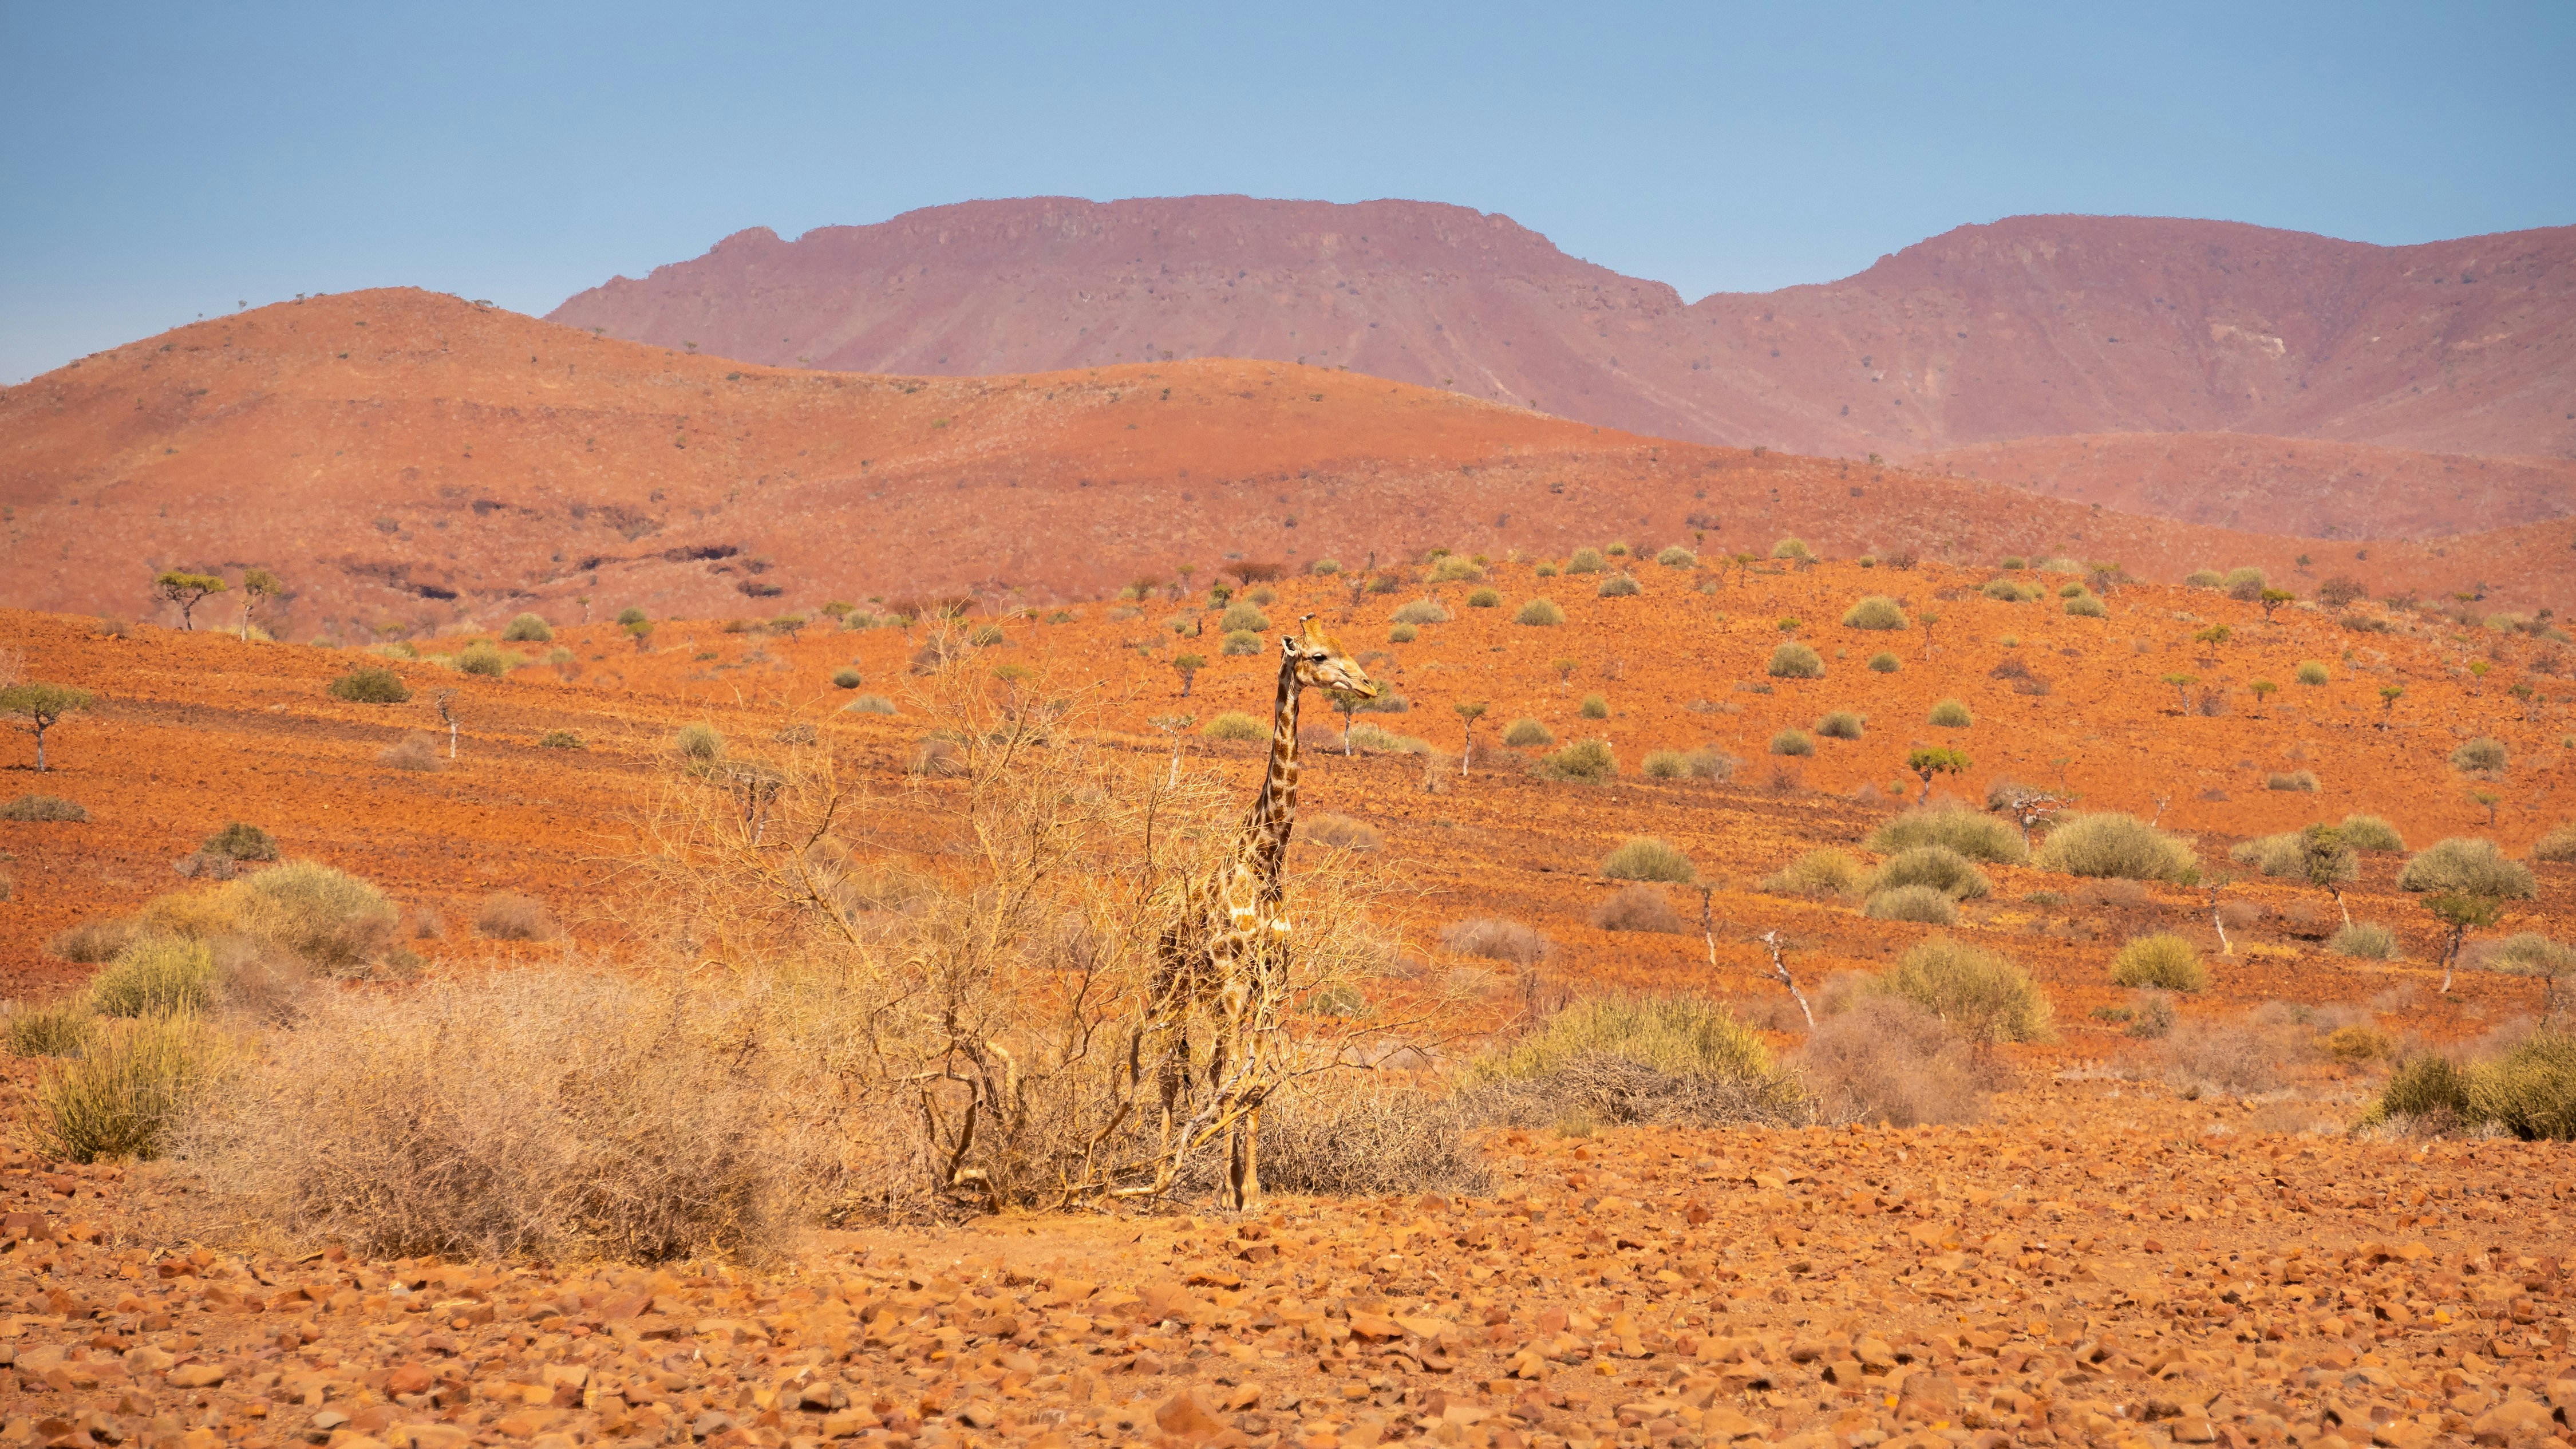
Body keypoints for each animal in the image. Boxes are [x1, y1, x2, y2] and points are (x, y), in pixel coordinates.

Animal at [1152, 613, 1376, 1209]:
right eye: (1318, 656)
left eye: (1347, 647)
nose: (1368, 686)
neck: (1267, 855)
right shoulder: (1234, 982)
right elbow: (1229, 1081)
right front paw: (1221, 1189)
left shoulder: (1272, 981)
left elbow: (1251, 1084)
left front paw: (1249, 1189)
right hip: (1170, 993)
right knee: (1170, 1074)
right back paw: (1159, 1180)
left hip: (1207, 1002)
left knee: (1199, 1070)